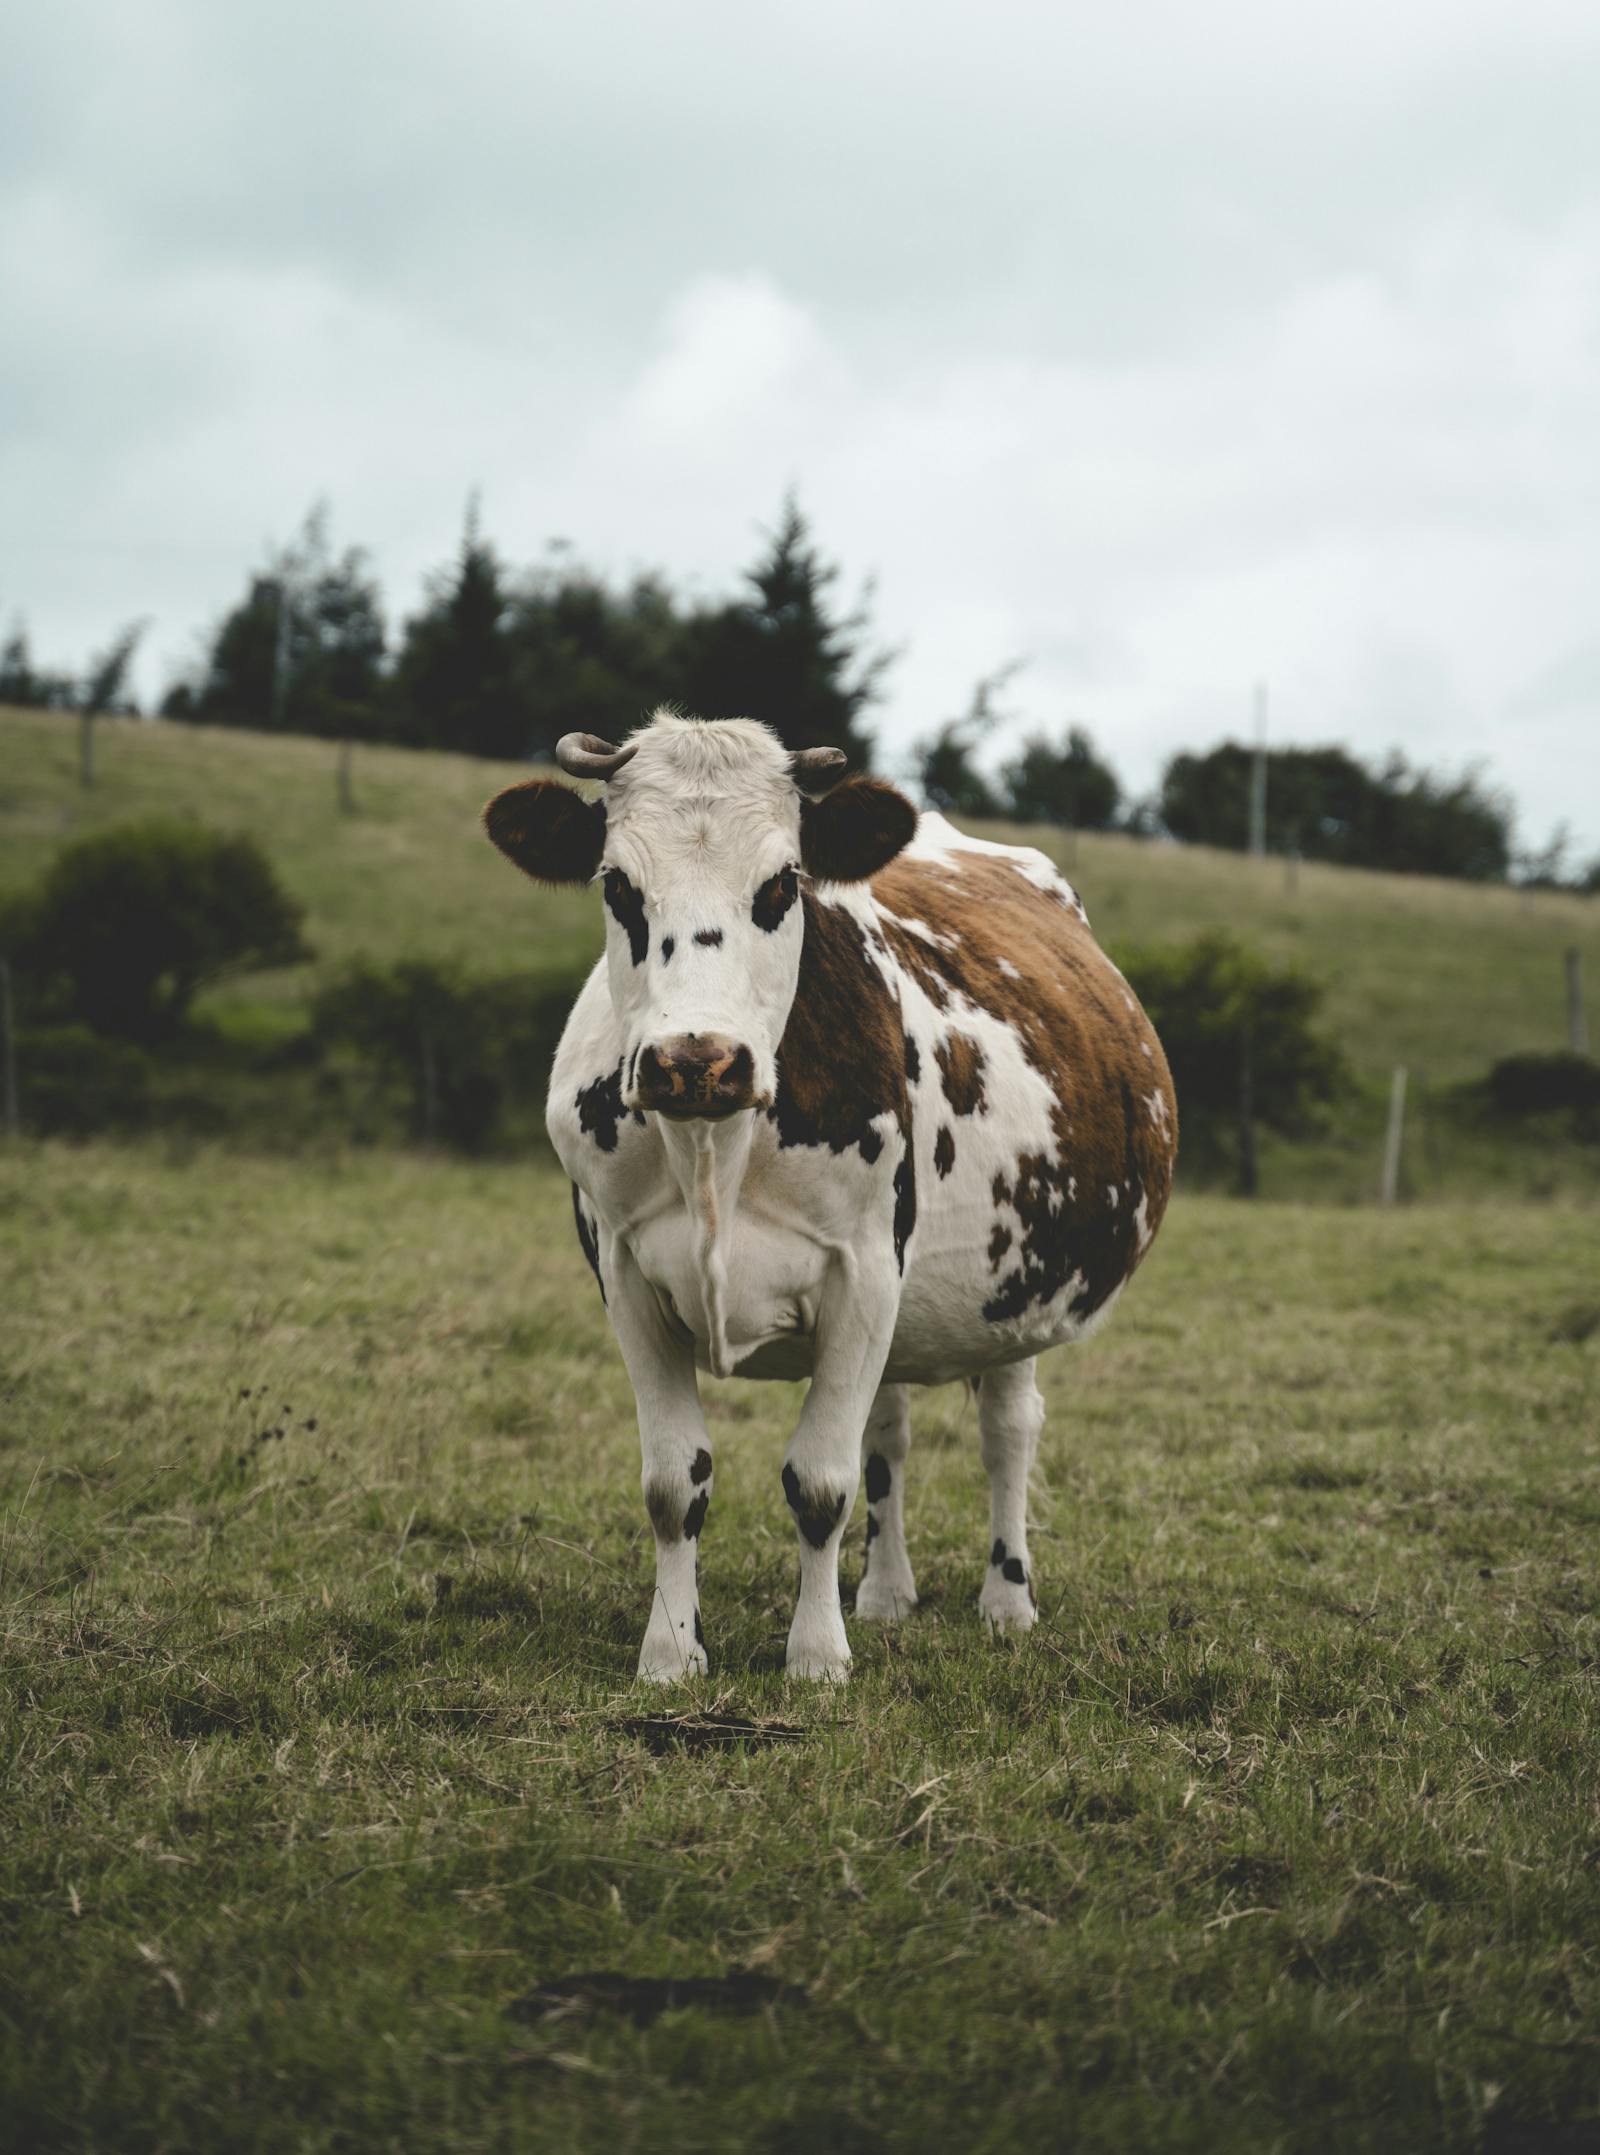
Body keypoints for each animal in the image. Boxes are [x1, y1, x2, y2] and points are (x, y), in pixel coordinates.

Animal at [484, 711, 1176, 1682]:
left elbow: (819, 1482)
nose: (696, 1059)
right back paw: (884, 1594)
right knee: (888, 1431)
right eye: (618, 884)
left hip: (1018, 1292)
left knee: (1008, 1431)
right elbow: (674, 1482)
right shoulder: (624, 1275)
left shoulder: (865, 1274)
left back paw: (1006, 1600)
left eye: (782, 883)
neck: (715, 1147)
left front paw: (815, 1654)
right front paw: (672, 1650)